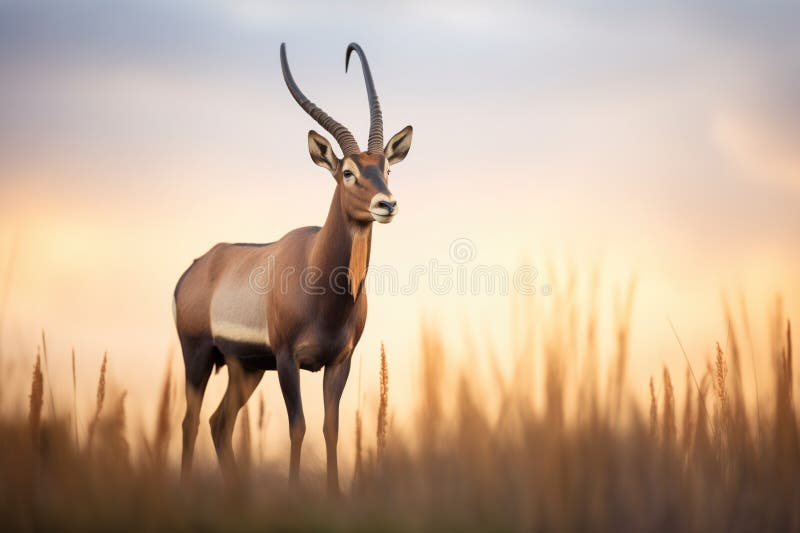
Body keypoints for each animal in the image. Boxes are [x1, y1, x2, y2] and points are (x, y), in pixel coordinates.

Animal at [173, 42, 412, 494]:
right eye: (348, 171)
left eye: (387, 168)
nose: (386, 204)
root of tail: (196, 268)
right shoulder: (287, 360)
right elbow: (297, 426)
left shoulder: (339, 362)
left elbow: (330, 428)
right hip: (198, 357)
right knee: (190, 421)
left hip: (245, 370)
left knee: (218, 423)